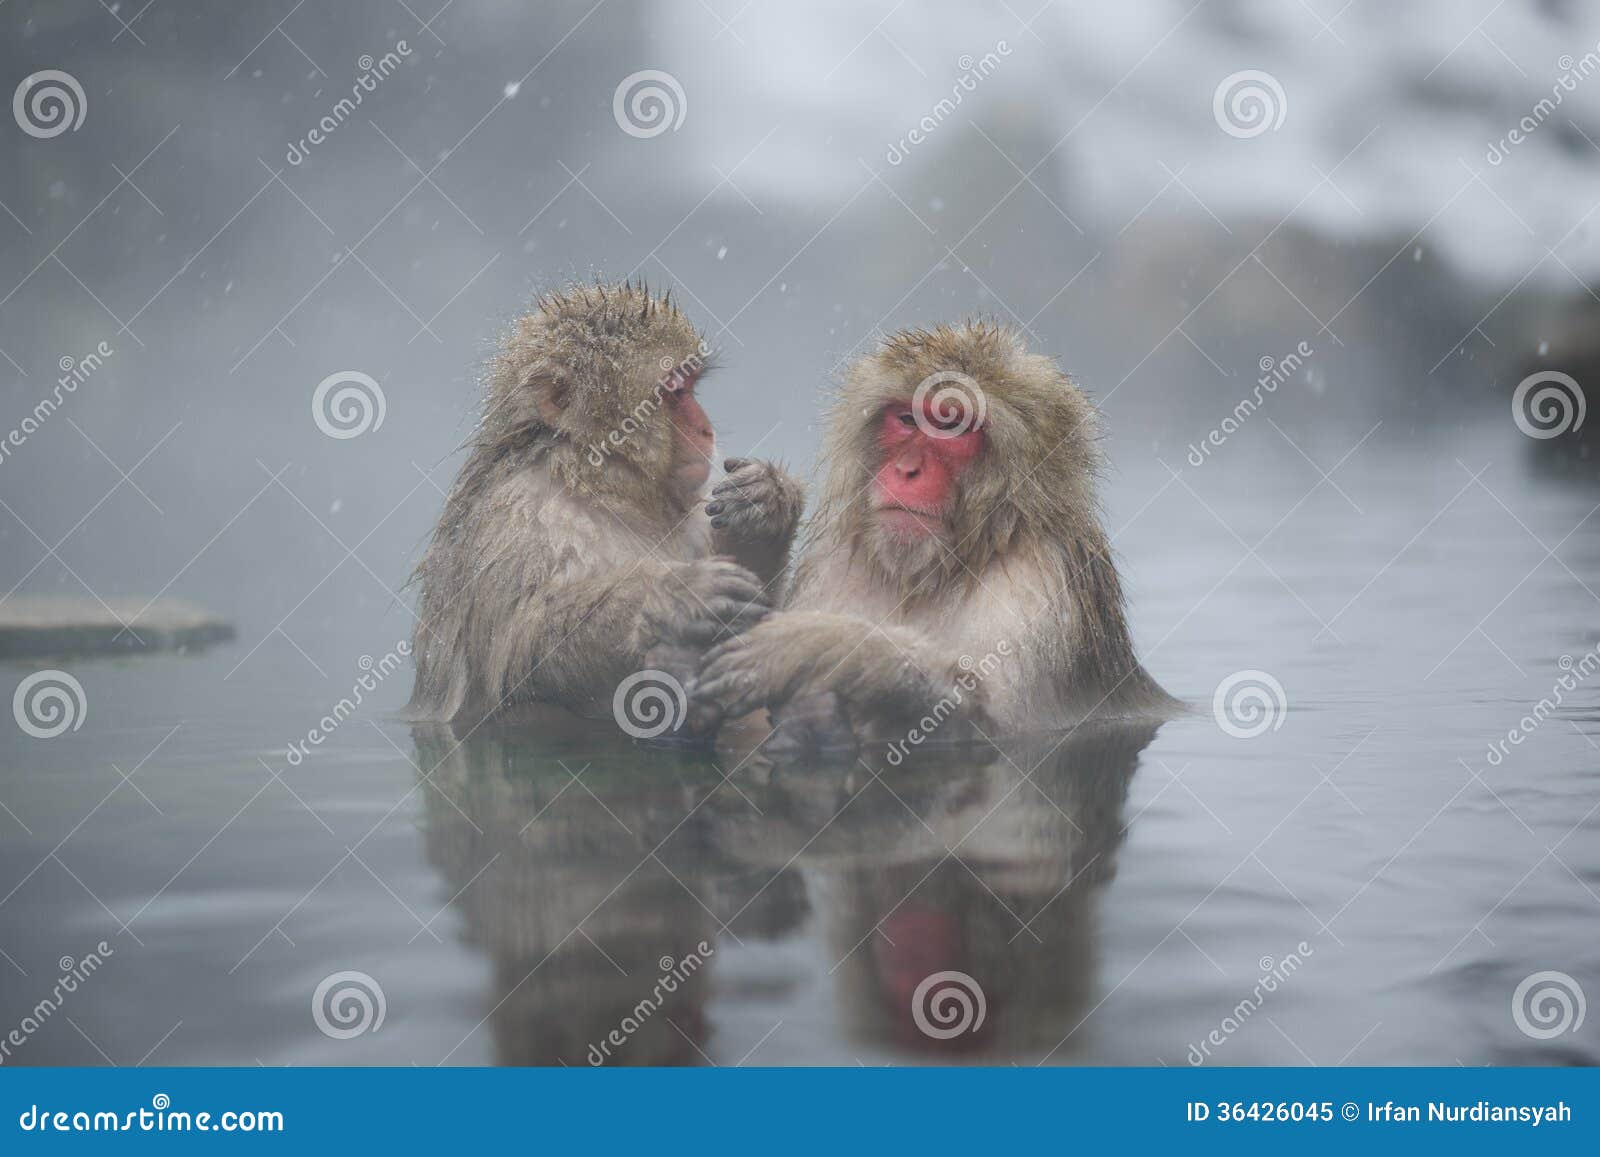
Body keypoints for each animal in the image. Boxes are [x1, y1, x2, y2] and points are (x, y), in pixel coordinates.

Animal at [409, 283, 806, 729]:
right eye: (674, 391)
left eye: (690, 385)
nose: (706, 429)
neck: (597, 484)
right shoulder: (514, 517)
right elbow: (519, 657)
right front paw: (674, 598)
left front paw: (767, 505)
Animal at [691, 321, 1177, 752]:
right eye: (908, 420)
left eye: (952, 426)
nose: (908, 470)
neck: (936, 573)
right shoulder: (835, 565)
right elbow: (739, 729)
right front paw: (763, 513)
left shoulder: (1040, 579)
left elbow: (990, 724)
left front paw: (819, 647)